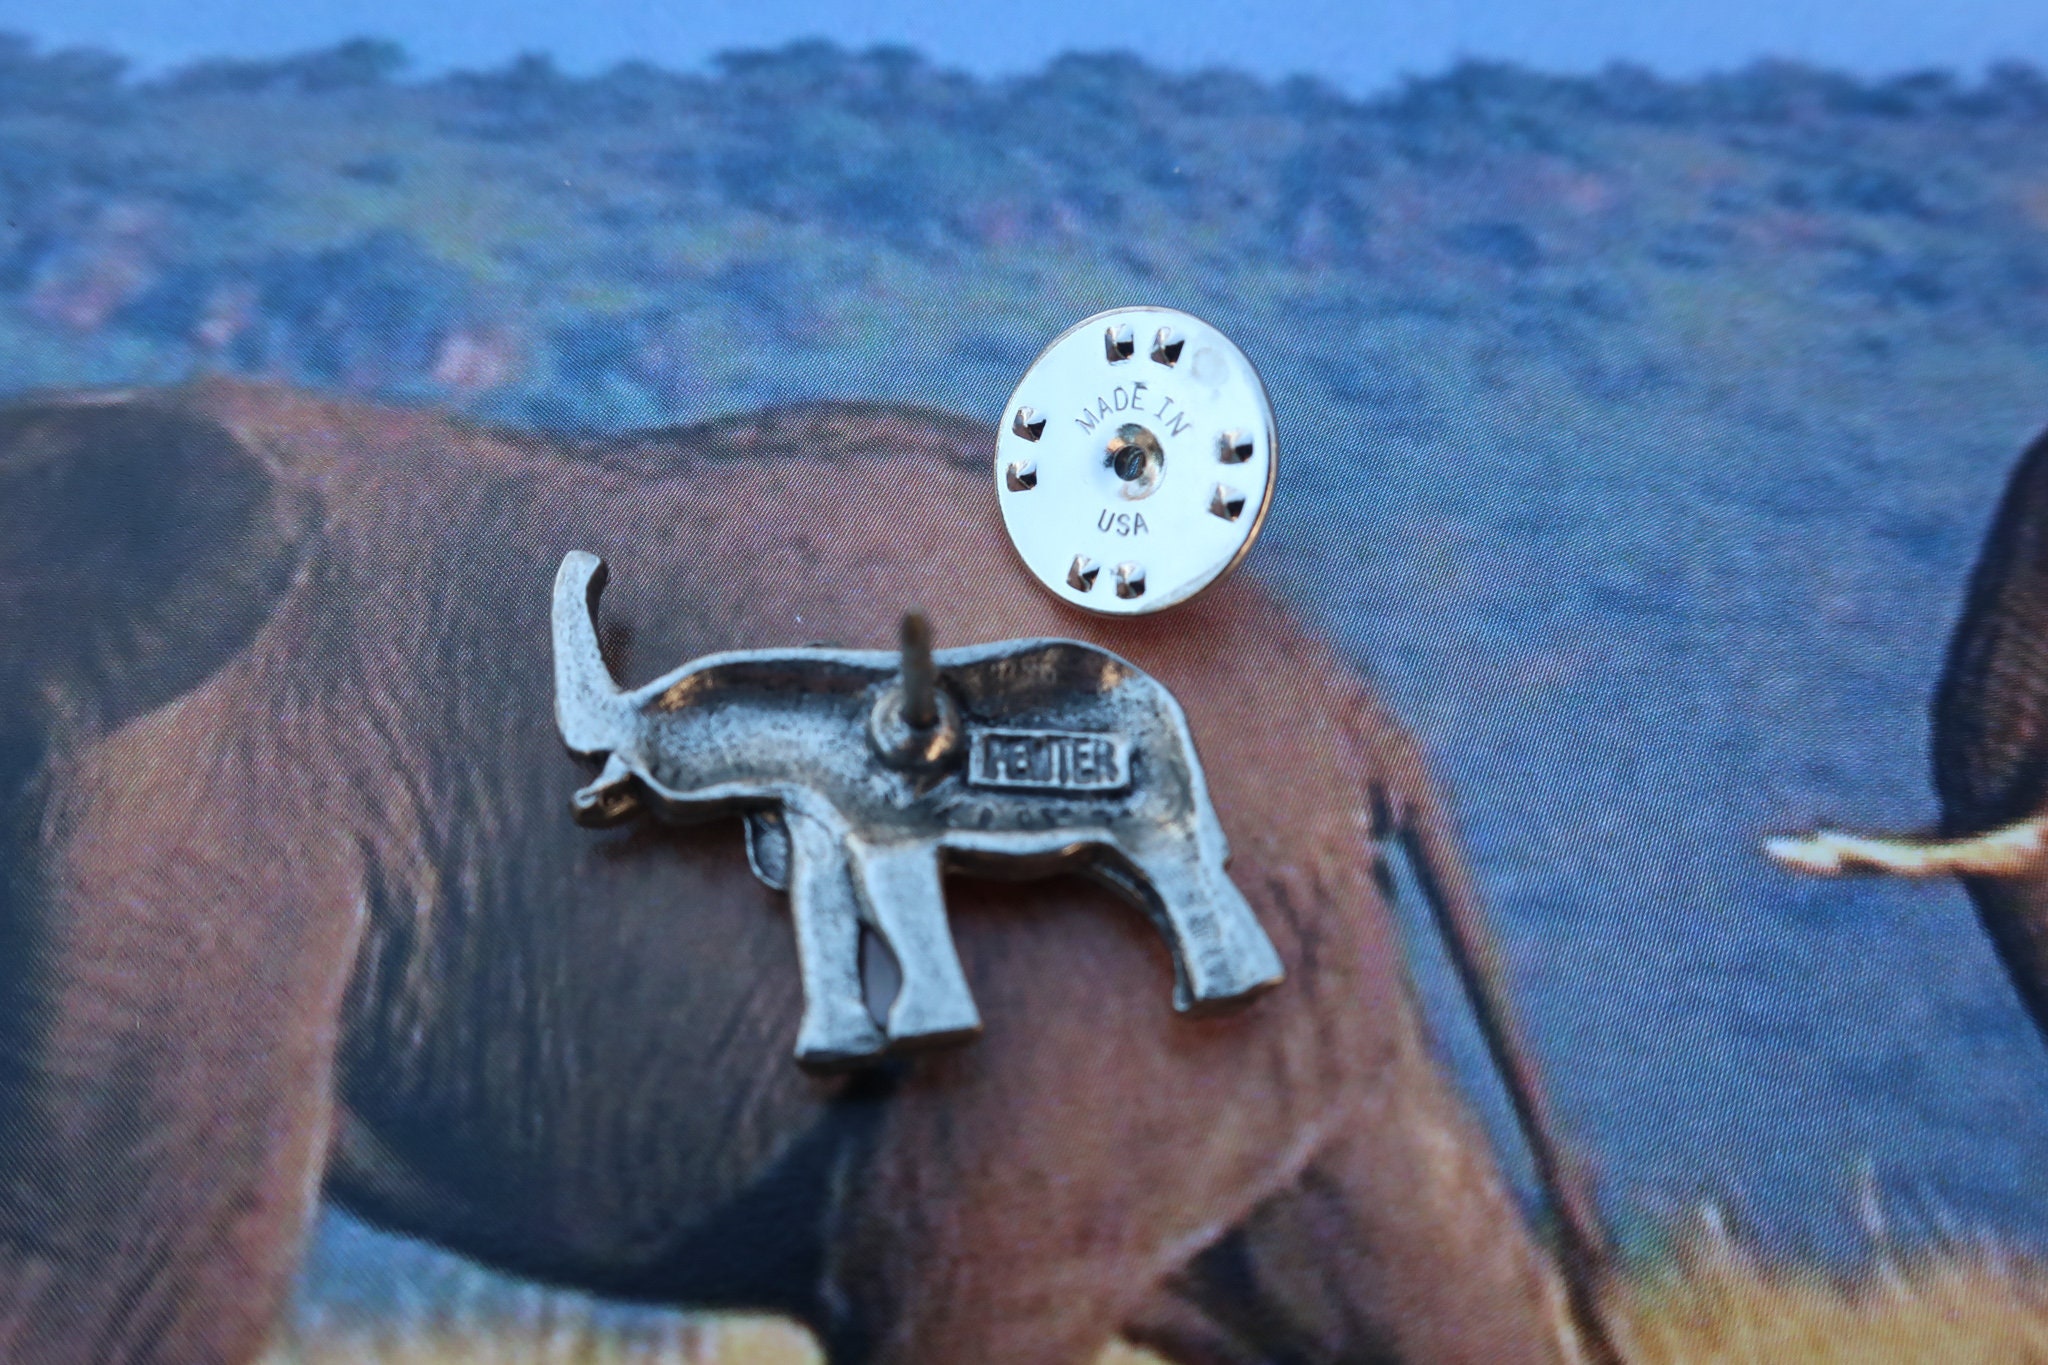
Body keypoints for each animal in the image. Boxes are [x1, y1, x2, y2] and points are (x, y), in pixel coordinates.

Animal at [551, 548, 1285, 1066]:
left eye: (656, 715)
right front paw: (838, 1053)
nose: (597, 564)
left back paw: (1232, 994)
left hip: (1155, 790)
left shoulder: (883, 809)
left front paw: (929, 1036)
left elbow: (887, 889)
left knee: (1177, 871)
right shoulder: (817, 804)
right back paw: (1223, 992)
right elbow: (823, 900)